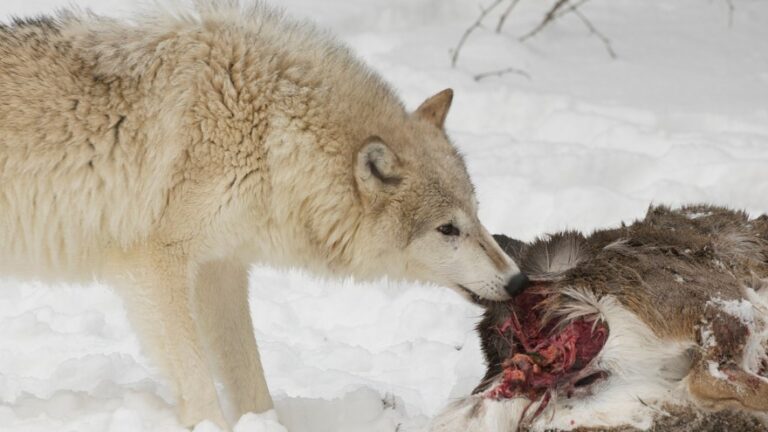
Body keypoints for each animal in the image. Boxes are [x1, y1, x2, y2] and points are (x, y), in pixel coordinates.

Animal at [0, 2, 528, 428]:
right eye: (447, 229)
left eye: (476, 215)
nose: (519, 281)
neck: (269, 134)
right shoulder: (154, 266)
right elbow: (197, 381)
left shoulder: (220, 267)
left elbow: (251, 381)